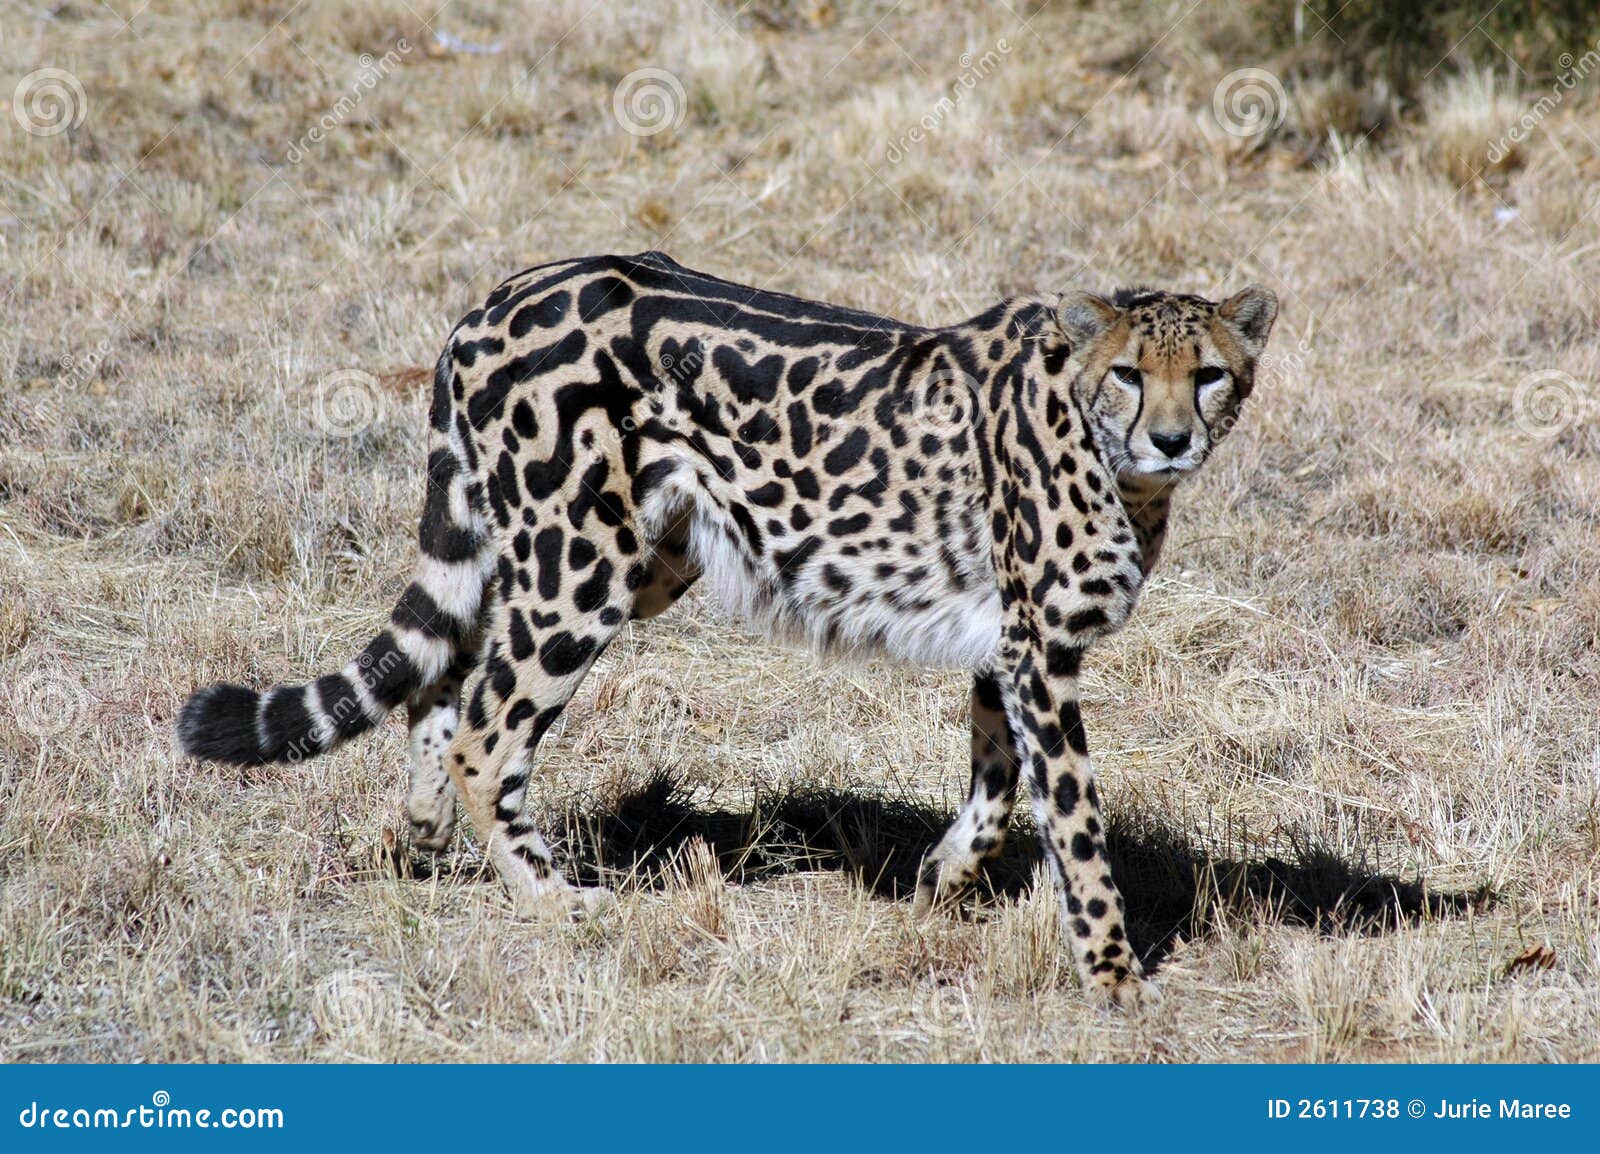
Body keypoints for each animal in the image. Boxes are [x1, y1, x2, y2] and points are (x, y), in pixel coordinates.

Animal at [177, 250, 1277, 1007]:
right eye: (1131, 373)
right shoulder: (1041, 649)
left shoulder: (1006, 644)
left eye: (1210, 375)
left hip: (626, 554)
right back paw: (554, 897)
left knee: (445, 684)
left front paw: (938, 884)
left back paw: (421, 841)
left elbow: (997, 784)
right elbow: (1077, 819)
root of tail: (503, 291)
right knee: (487, 731)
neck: (1104, 448)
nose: (1172, 438)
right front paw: (1114, 978)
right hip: (583, 564)